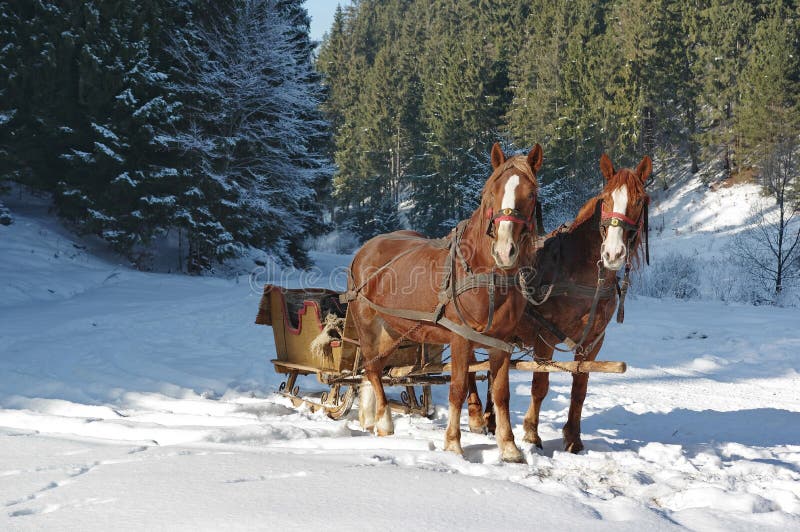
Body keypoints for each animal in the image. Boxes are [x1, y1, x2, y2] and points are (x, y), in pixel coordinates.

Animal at [344, 143, 542, 463]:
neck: (486, 275)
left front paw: (509, 447)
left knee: (373, 368)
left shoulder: (500, 342)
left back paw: (373, 419)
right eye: (492, 192)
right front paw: (453, 443)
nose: (504, 250)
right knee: (372, 369)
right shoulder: (461, 338)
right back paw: (384, 421)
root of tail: (365, 249)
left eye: (531, 194)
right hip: (368, 325)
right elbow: (458, 388)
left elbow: (501, 393)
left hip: (394, 331)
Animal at [482, 153, 652, 453]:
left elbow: (580, 388)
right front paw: (531, 433)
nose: (613, 253)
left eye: (639, 200)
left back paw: (490, 421)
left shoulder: (593, 341)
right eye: (606, 199)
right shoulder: (545, 337)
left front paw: (573, 437)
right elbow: (540, 384)